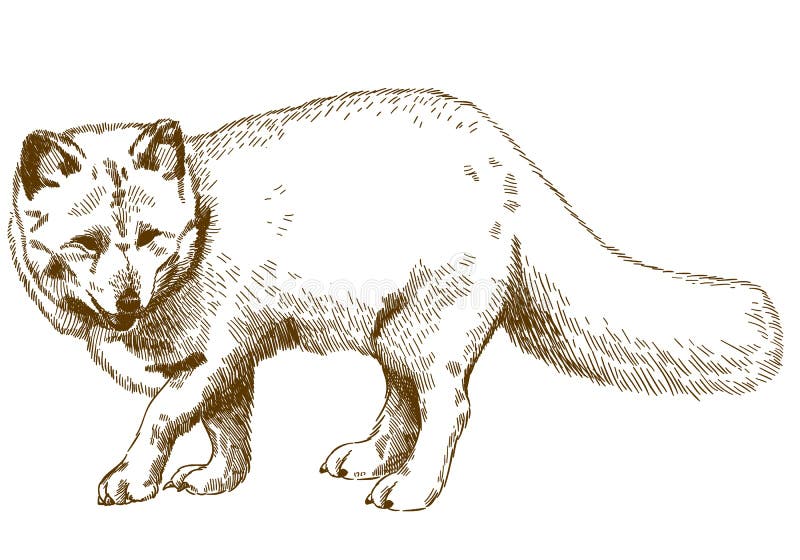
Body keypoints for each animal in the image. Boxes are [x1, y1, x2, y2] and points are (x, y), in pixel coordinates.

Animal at [9, 88, 783, 511]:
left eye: (148, 238)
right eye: (86, 244)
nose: (126, 302)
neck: (201, 228)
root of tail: (508, 154)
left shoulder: (216, 354)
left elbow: (162, 418)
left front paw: (131, 478)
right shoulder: (226, 361)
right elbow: (228, 427)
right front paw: (220, 480)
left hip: (429, 331)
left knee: (448, 407)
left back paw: (410, 490)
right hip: (393, 331)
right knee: (401, 401)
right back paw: (372, 459)